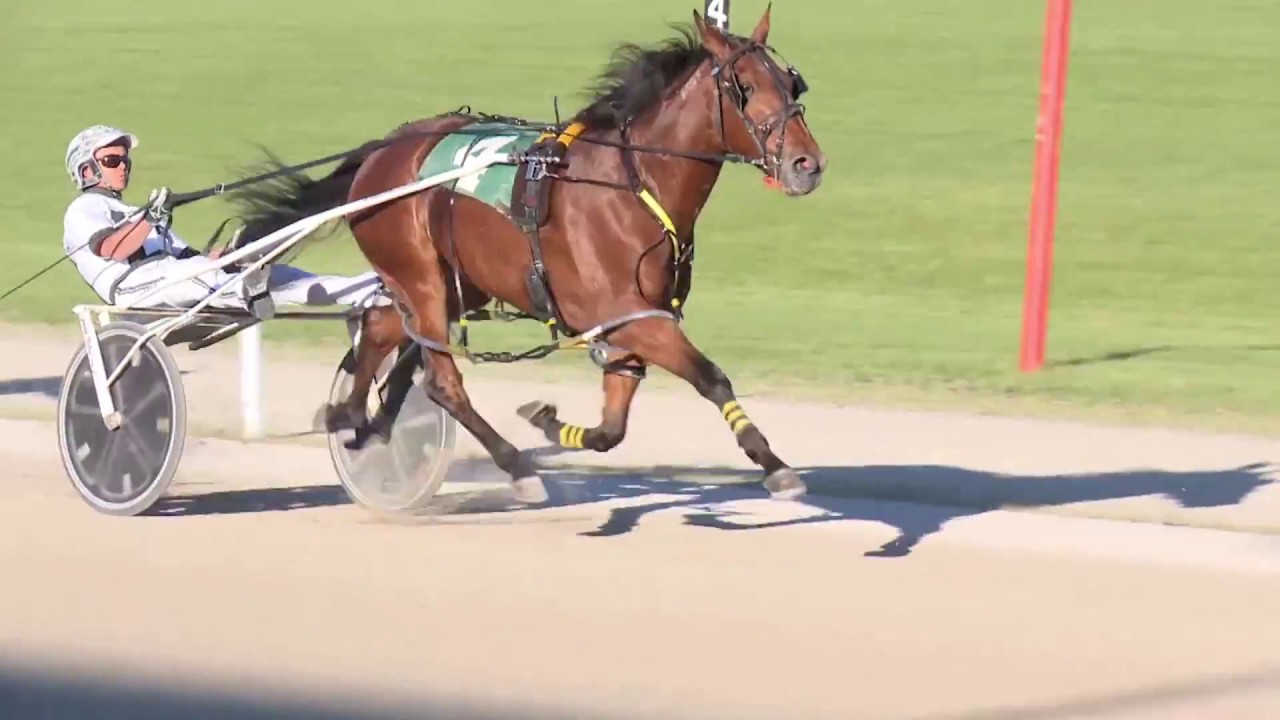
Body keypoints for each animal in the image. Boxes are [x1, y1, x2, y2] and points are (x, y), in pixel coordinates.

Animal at [228, 6, 827, 505]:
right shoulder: (629, 316)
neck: (631, 183)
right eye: (744, 86)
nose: (808, 164)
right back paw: (515, 468)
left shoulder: (633, 320)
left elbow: (611, 428)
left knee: (379, 329)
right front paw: (774, 465)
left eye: (791, 81)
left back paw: (355, 417)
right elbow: (710, 376)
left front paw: (546, 418)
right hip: (420, 277)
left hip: (458, 283)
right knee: (441, 381)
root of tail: (381, 150)